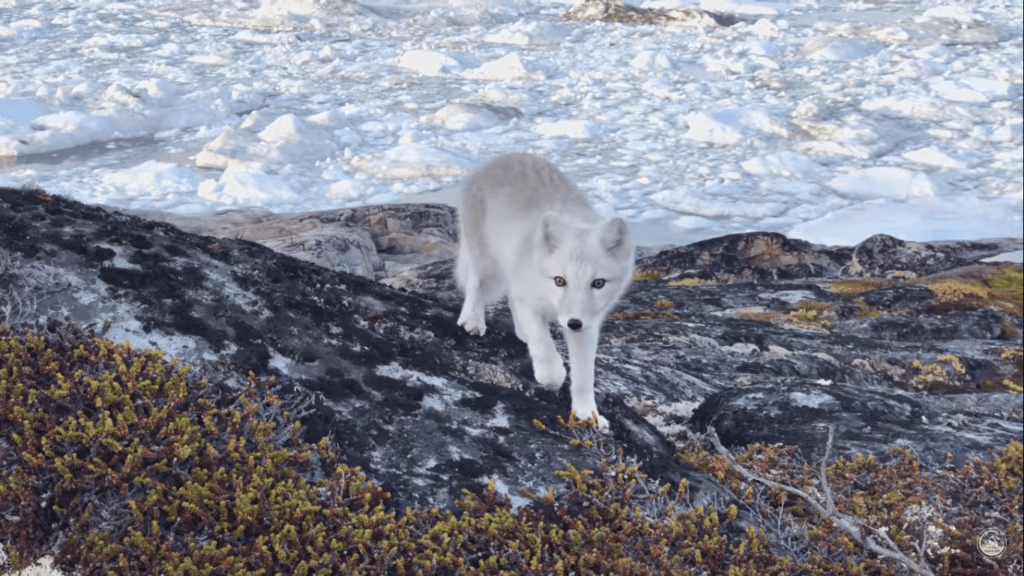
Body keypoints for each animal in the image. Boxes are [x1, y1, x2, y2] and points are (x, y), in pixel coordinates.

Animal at [455, 153, 635, 431]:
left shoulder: (589, 323)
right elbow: (546, 350)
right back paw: (473, 320)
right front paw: (551, 376)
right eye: (560, 280)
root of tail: (500, 158)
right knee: (476, 284)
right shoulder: (531, 301)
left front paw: (587, 414)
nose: (573, 323)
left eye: (598, 283)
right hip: (483, 257)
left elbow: (584, 375)